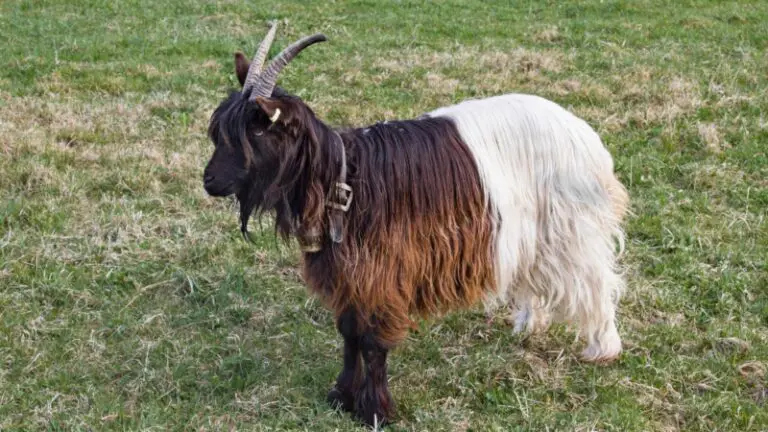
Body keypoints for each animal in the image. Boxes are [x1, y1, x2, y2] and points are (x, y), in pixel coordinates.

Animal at [202, 23, 629, 427]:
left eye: (257, 129)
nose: (209, 181)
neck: (343, 179)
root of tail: (586, 136)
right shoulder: (349, 277)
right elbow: (349, 334)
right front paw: (342, 397)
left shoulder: (382, 274)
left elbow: (372, 343)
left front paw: (376, 411)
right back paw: (528, 323)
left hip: (570, 226)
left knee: (595, 280)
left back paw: (603, 348)